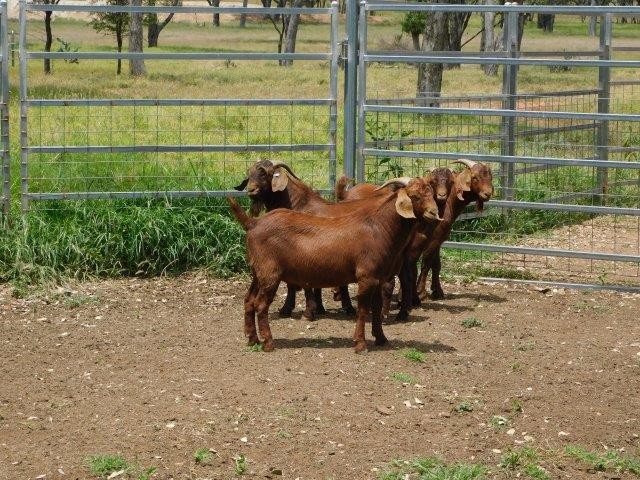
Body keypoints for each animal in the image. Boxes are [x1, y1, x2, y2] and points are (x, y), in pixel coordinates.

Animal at [228, 177, 441, 353]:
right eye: (414, 196)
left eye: (431, 193)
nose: (434, 212)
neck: (379, 228)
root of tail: (253, 223)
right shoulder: (367, 277)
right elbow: (363, 311)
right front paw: (360, 344)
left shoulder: (378, 278)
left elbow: (377, 309)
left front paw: (381, 338)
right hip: (270, 273)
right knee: (261, 305)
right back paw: (268, 343)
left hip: (257, 271)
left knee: (249, 301)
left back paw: (252, 339)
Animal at [234, 160, 355, 319]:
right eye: (250, 172)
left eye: (265, 173)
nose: (251, 190)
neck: (298, 204)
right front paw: (317, 308)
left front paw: (300, 310)